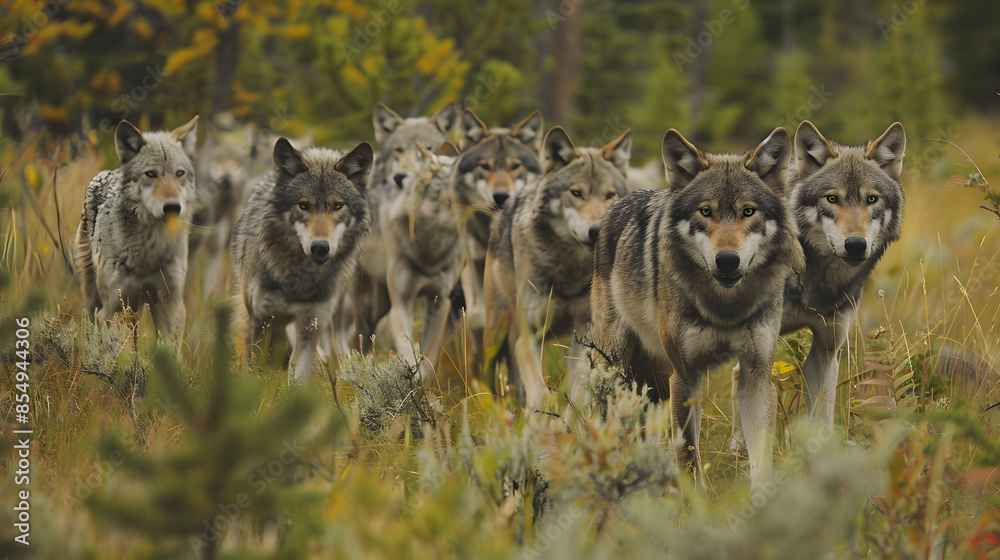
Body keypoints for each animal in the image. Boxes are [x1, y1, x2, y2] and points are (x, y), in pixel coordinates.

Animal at [74, 116, 200, 345]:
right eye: (150, 174)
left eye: (179, 173)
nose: (172, 207)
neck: (150, 251)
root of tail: (109, 171)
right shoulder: (112, 310)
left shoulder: (172, 303)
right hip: (101, 302)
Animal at [230, 138, 373, 381]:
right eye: (303, 205)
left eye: (338, 206)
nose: (320, 247)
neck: (299, 279)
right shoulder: (256, 321)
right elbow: (251, 374)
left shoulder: (310, 327)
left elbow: (299, 377)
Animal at [484, 126, 631, 408]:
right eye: (576, 193)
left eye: (610, 195)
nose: (596, 231)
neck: (568, 269)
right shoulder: (528, 337)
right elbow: (540, 392)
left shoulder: (584, 338)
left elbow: (577, 394)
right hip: (496, 331)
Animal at [587, 127, 803, 488]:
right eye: (705, 212)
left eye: (748, 212)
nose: (727, 260)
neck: (725, 307)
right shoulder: (685, 377)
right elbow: (688, 456)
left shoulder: (756, 373)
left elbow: (761, 457)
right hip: (613, 362)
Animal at [730, 121, 906, 449]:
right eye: (831, 198)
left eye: (872, 199)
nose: (855, 245)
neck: (816, 281)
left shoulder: (826, 350)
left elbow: (823, 416)